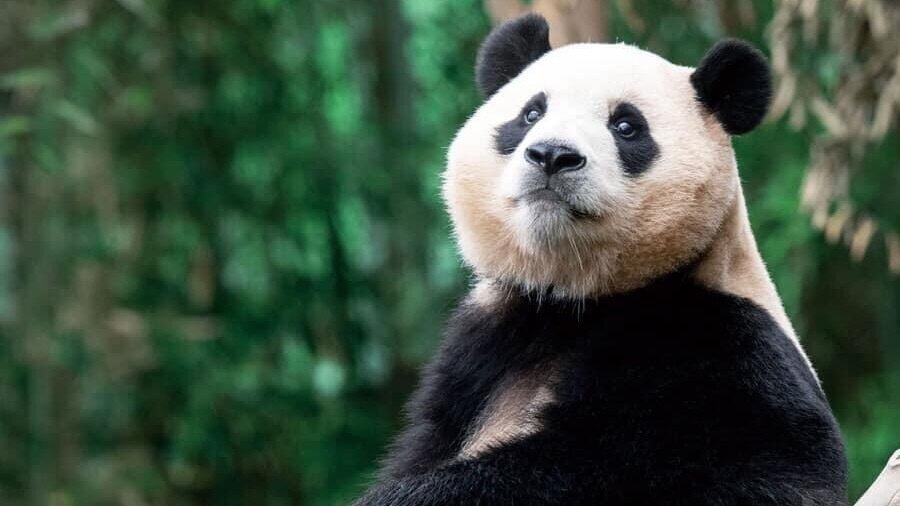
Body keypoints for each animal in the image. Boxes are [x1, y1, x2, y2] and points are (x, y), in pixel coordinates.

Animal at [355, 13, 848, 506]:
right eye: (531, 113)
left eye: (626, 126)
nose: (552, 155)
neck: (575, 296)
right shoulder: (484, 343)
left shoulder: (728, 344)